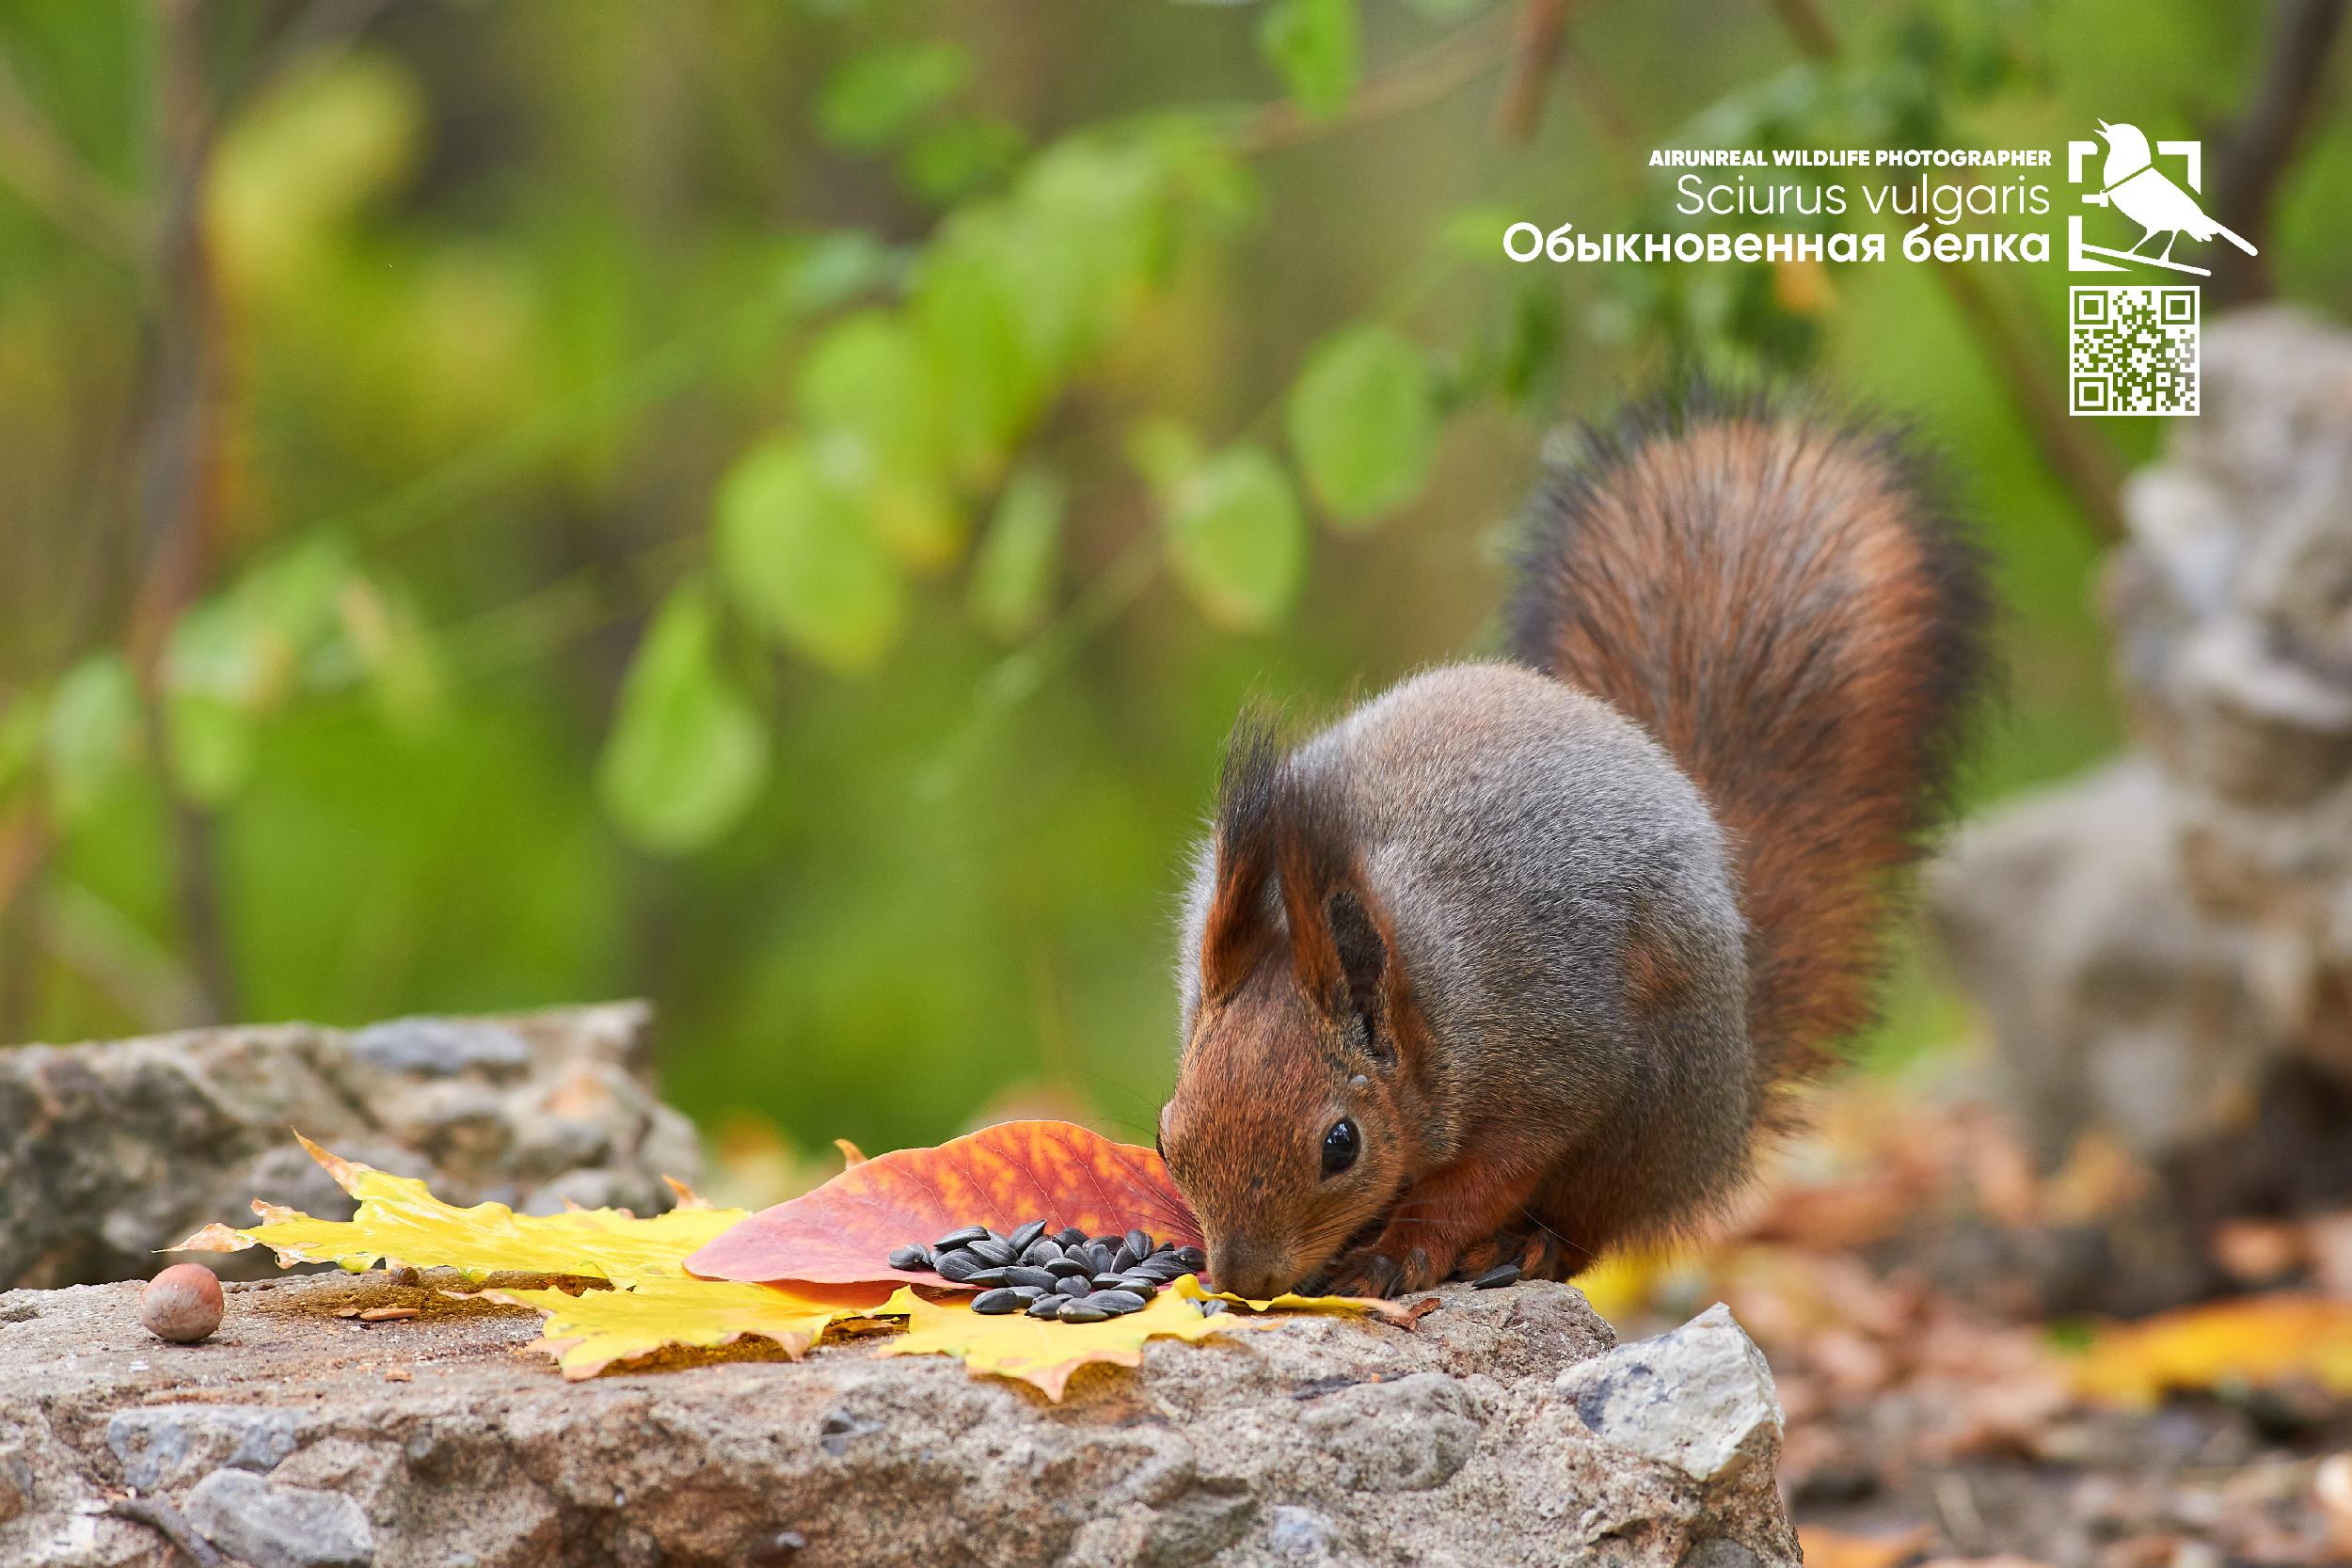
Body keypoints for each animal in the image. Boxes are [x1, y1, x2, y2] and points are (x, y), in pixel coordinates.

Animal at [1157, 392, 1985, 1297]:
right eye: (1166, 1134)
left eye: (1342, 1144)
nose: (1241, 1276)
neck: (1431, 1005)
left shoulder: (1550, 1067)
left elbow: (1485, 1178)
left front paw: (1391, 1253)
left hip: (1650, 1109)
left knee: (1591, 1225)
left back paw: (1528, 1247)